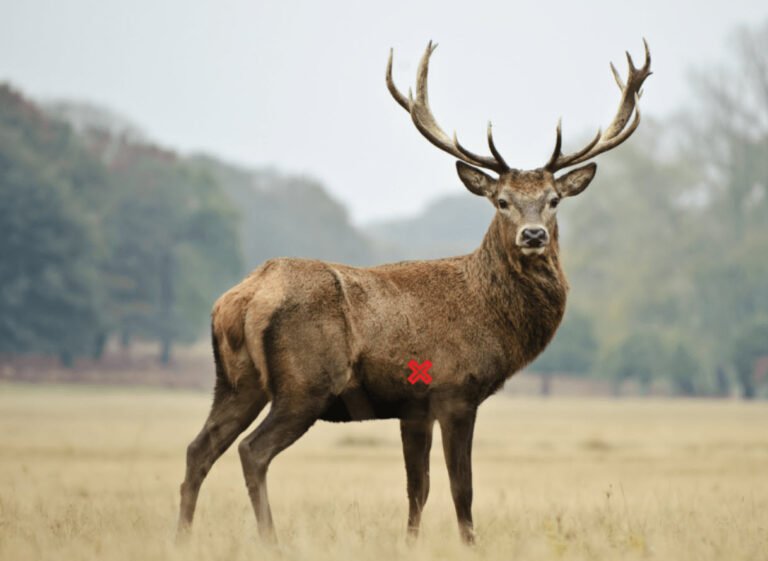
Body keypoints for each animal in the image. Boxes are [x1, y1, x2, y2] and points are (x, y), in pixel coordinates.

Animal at [177, 40, 652, 545]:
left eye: (554, 200)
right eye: (501, 201)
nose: (534, 235)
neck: (490, 316)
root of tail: (242, 298)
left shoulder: (413, 406)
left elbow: (417, 489)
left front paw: (410, 543)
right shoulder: (455, 390)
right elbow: (462, 488)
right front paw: (471, 546)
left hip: (235, 381)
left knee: (198, 449)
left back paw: (182, 537)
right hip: (305, 384)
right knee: (252, 451)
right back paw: (271, 540)